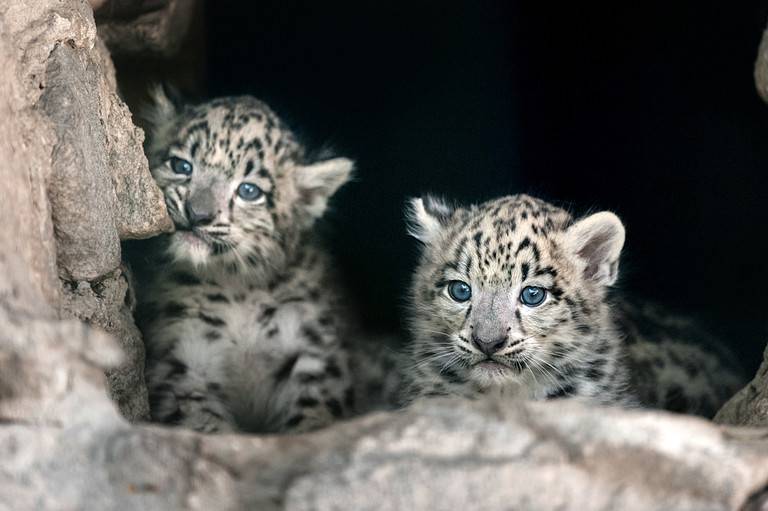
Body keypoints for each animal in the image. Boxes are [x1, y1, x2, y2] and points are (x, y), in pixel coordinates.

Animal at [135, 86, 359, 433]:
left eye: (249, 191)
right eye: (181, 165)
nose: (197, 214)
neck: (237, 288)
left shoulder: (315, 356)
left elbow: (313, 414)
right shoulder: (182, 362)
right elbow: (203, 422)